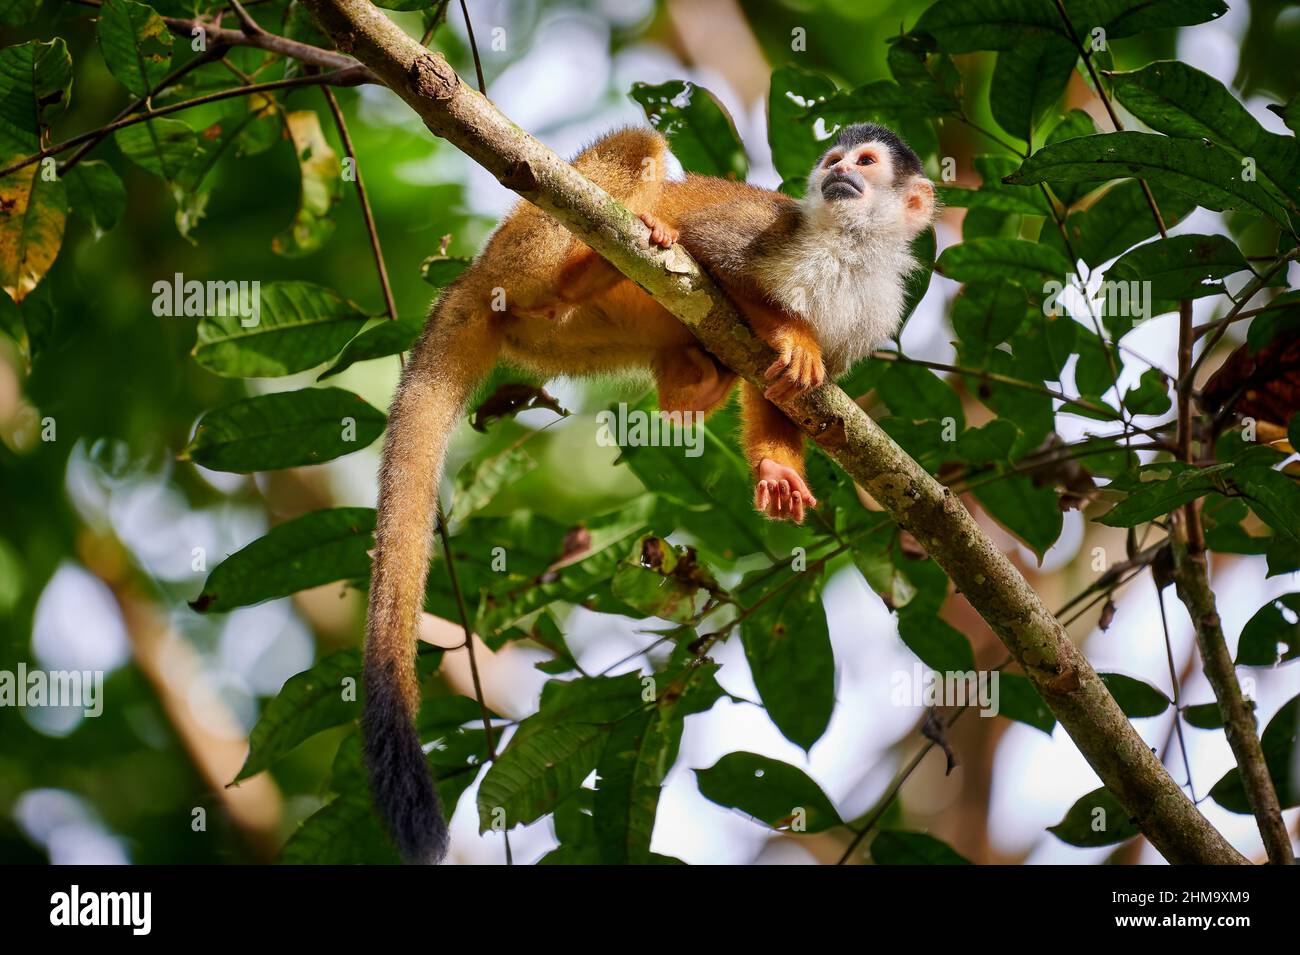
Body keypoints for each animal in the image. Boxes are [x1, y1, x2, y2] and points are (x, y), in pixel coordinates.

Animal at [361, 122, 935, 863]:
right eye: (833, 161)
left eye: (862, 162)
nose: (838, 173)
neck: (850, 246)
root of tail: (472, 278)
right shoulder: (773, 229)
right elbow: (723, 265)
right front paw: (792, 333)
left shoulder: (873, 312)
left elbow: (784, 397)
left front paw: (778, 467)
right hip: (523, 244)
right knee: (640, 154)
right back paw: (595, 263)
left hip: (562, 338)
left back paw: (689, 378)